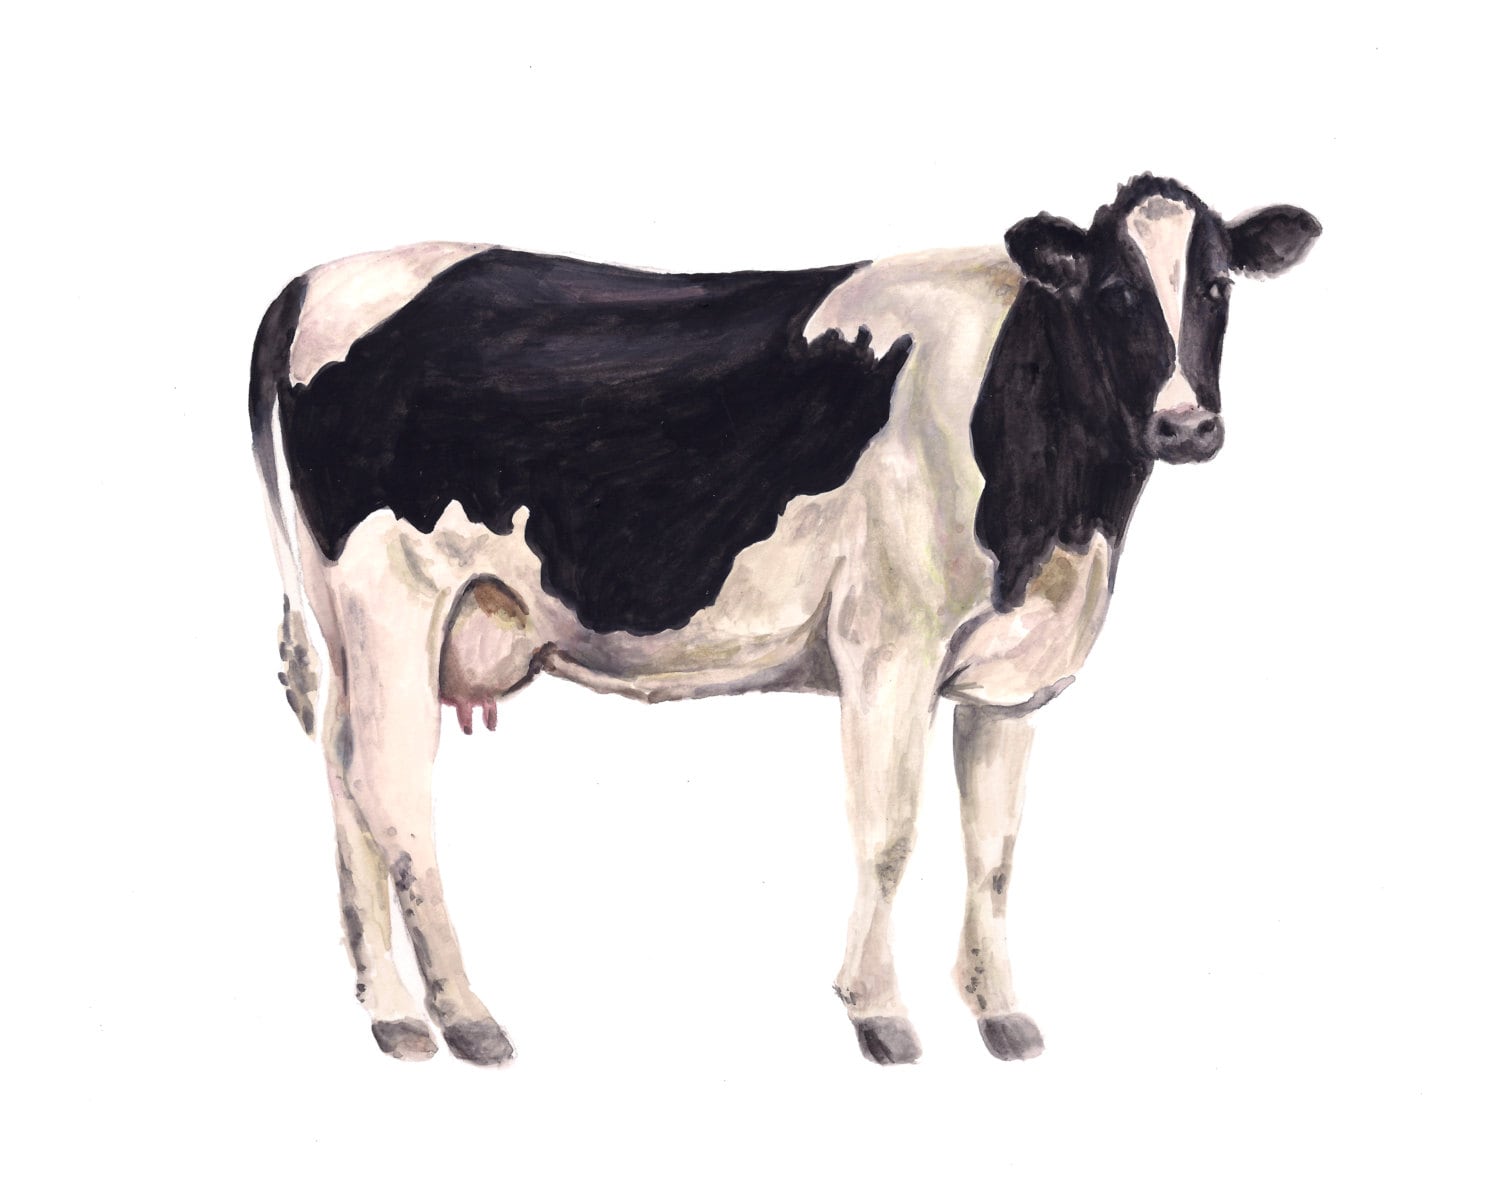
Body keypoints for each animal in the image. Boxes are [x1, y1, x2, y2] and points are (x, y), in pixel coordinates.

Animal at [251, 175, 1319, 1067]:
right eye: (1116, 293)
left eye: (1215, 285)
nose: (1187, 424)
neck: (1063, 523)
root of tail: (310, 282)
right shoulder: (888, 645)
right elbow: (890, 832)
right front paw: (879, 1013)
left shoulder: (1007, 678)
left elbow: (997, 849)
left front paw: (1001, 1014)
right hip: (392, 597)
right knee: (392, 788)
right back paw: (466, 1017)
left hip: (344, 622)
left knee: (342, 773)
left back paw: (392, 1013)